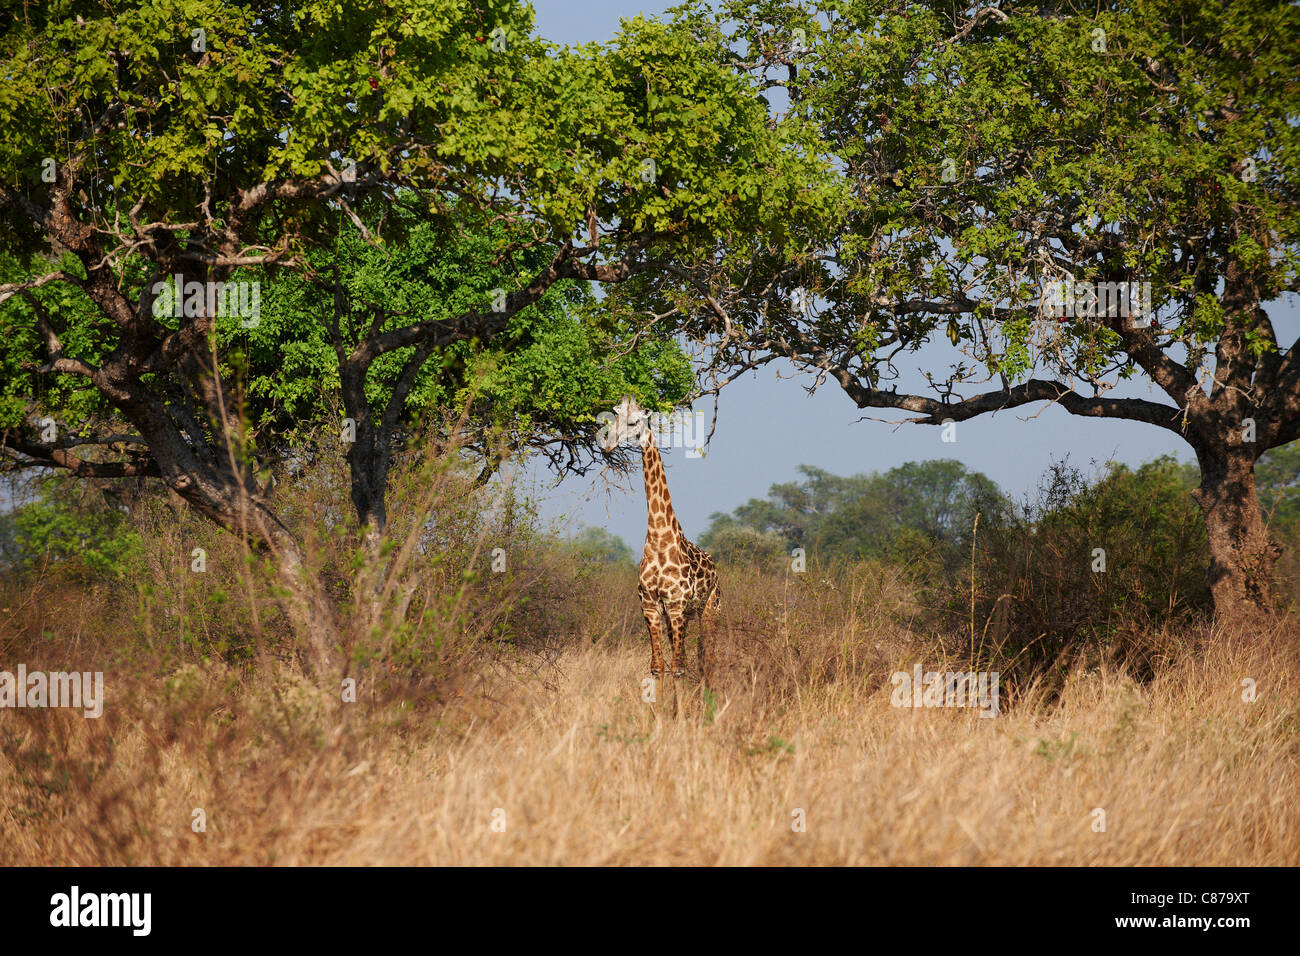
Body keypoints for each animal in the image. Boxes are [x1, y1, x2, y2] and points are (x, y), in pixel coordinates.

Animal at [603, 397, 721, 681]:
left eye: (633, 422)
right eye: (615, 417)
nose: (607, 444)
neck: (659, 536)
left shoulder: (677, 605)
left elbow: (678, 667)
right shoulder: (650, 605)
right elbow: (658, 666)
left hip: (710, 609)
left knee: (708, 658)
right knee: (697, 657)